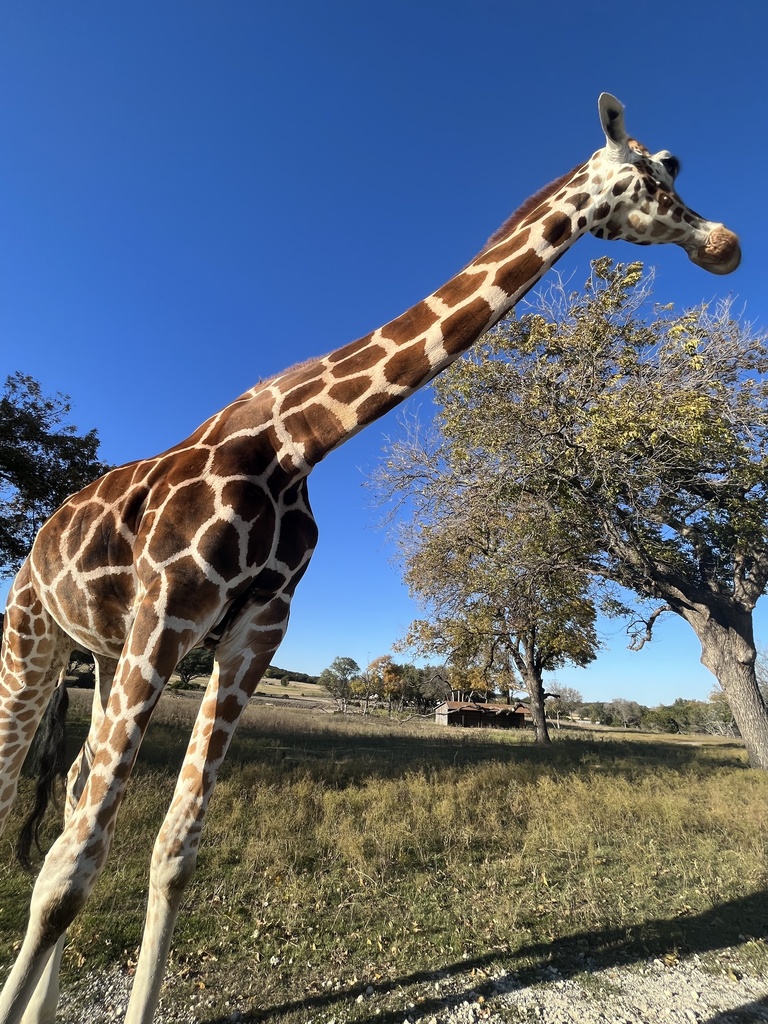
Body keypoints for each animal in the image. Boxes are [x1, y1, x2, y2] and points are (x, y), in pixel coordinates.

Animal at [0, 94, 739, 1024]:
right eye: (650, 178)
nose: (725, 244)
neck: (297, 443)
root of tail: (39, 537)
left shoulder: (256, 629)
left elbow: (173, 849)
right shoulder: (170, 608)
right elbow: (68, 877)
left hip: (102, 653)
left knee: (65, 793)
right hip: (34, 635)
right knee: (16, 790)